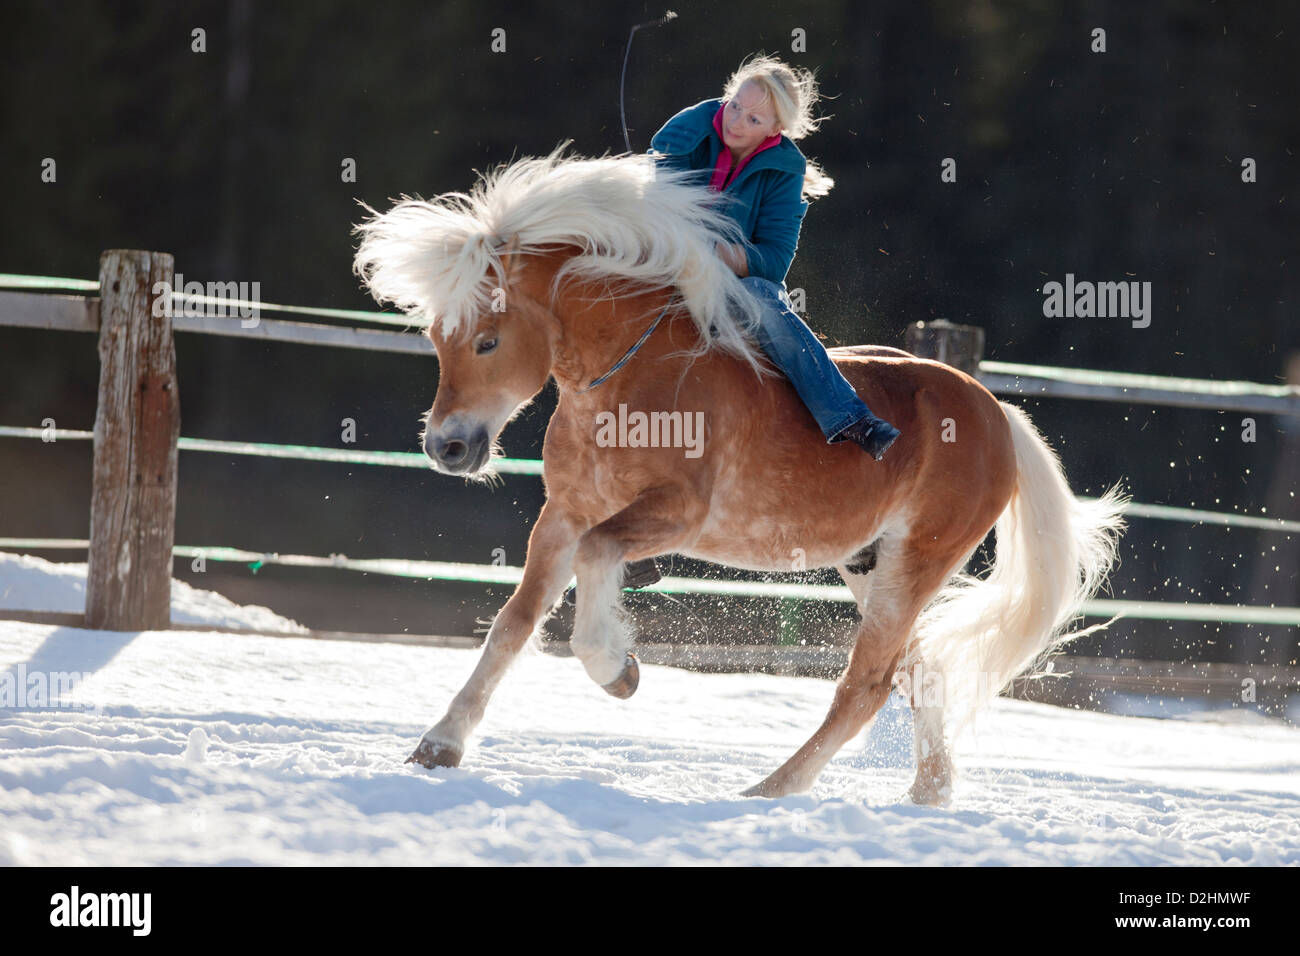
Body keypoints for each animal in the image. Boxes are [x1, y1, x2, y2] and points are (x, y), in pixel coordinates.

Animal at [352, 145, 1128, 804]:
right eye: (437, 339)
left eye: (487, 341)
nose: (447, 447)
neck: (627, 375)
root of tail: (995, 413)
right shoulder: (563, 514)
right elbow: (513, 625)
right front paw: (439, 746)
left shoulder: (672, 514)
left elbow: (599, 561)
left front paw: (618, 671)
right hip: (870, 566)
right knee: (917, 670)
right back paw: (927, 793)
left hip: (918, 561)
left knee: (867, 685)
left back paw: (771, 790)